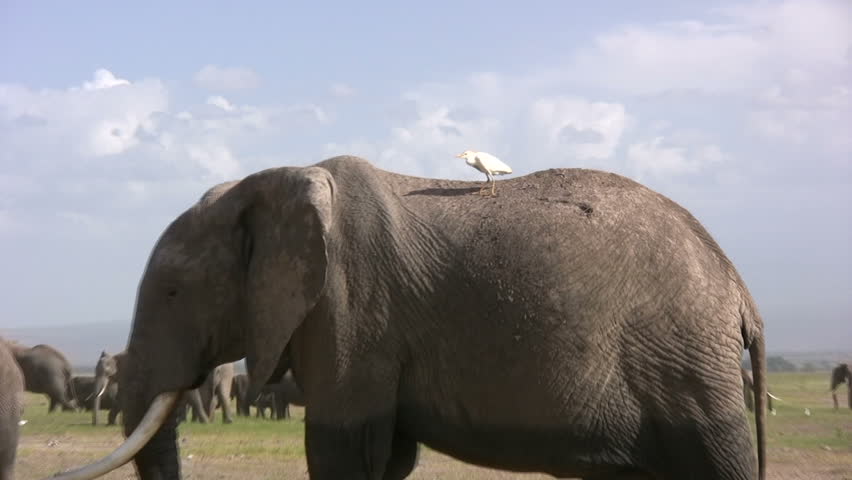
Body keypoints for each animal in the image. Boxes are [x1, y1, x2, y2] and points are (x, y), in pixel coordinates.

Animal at [58, 156, 768, 480]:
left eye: (174, 292)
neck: (275, 179)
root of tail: (739, 288)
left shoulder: (352, 309)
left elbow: (343, 450)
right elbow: (388, 457)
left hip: (684, 359)